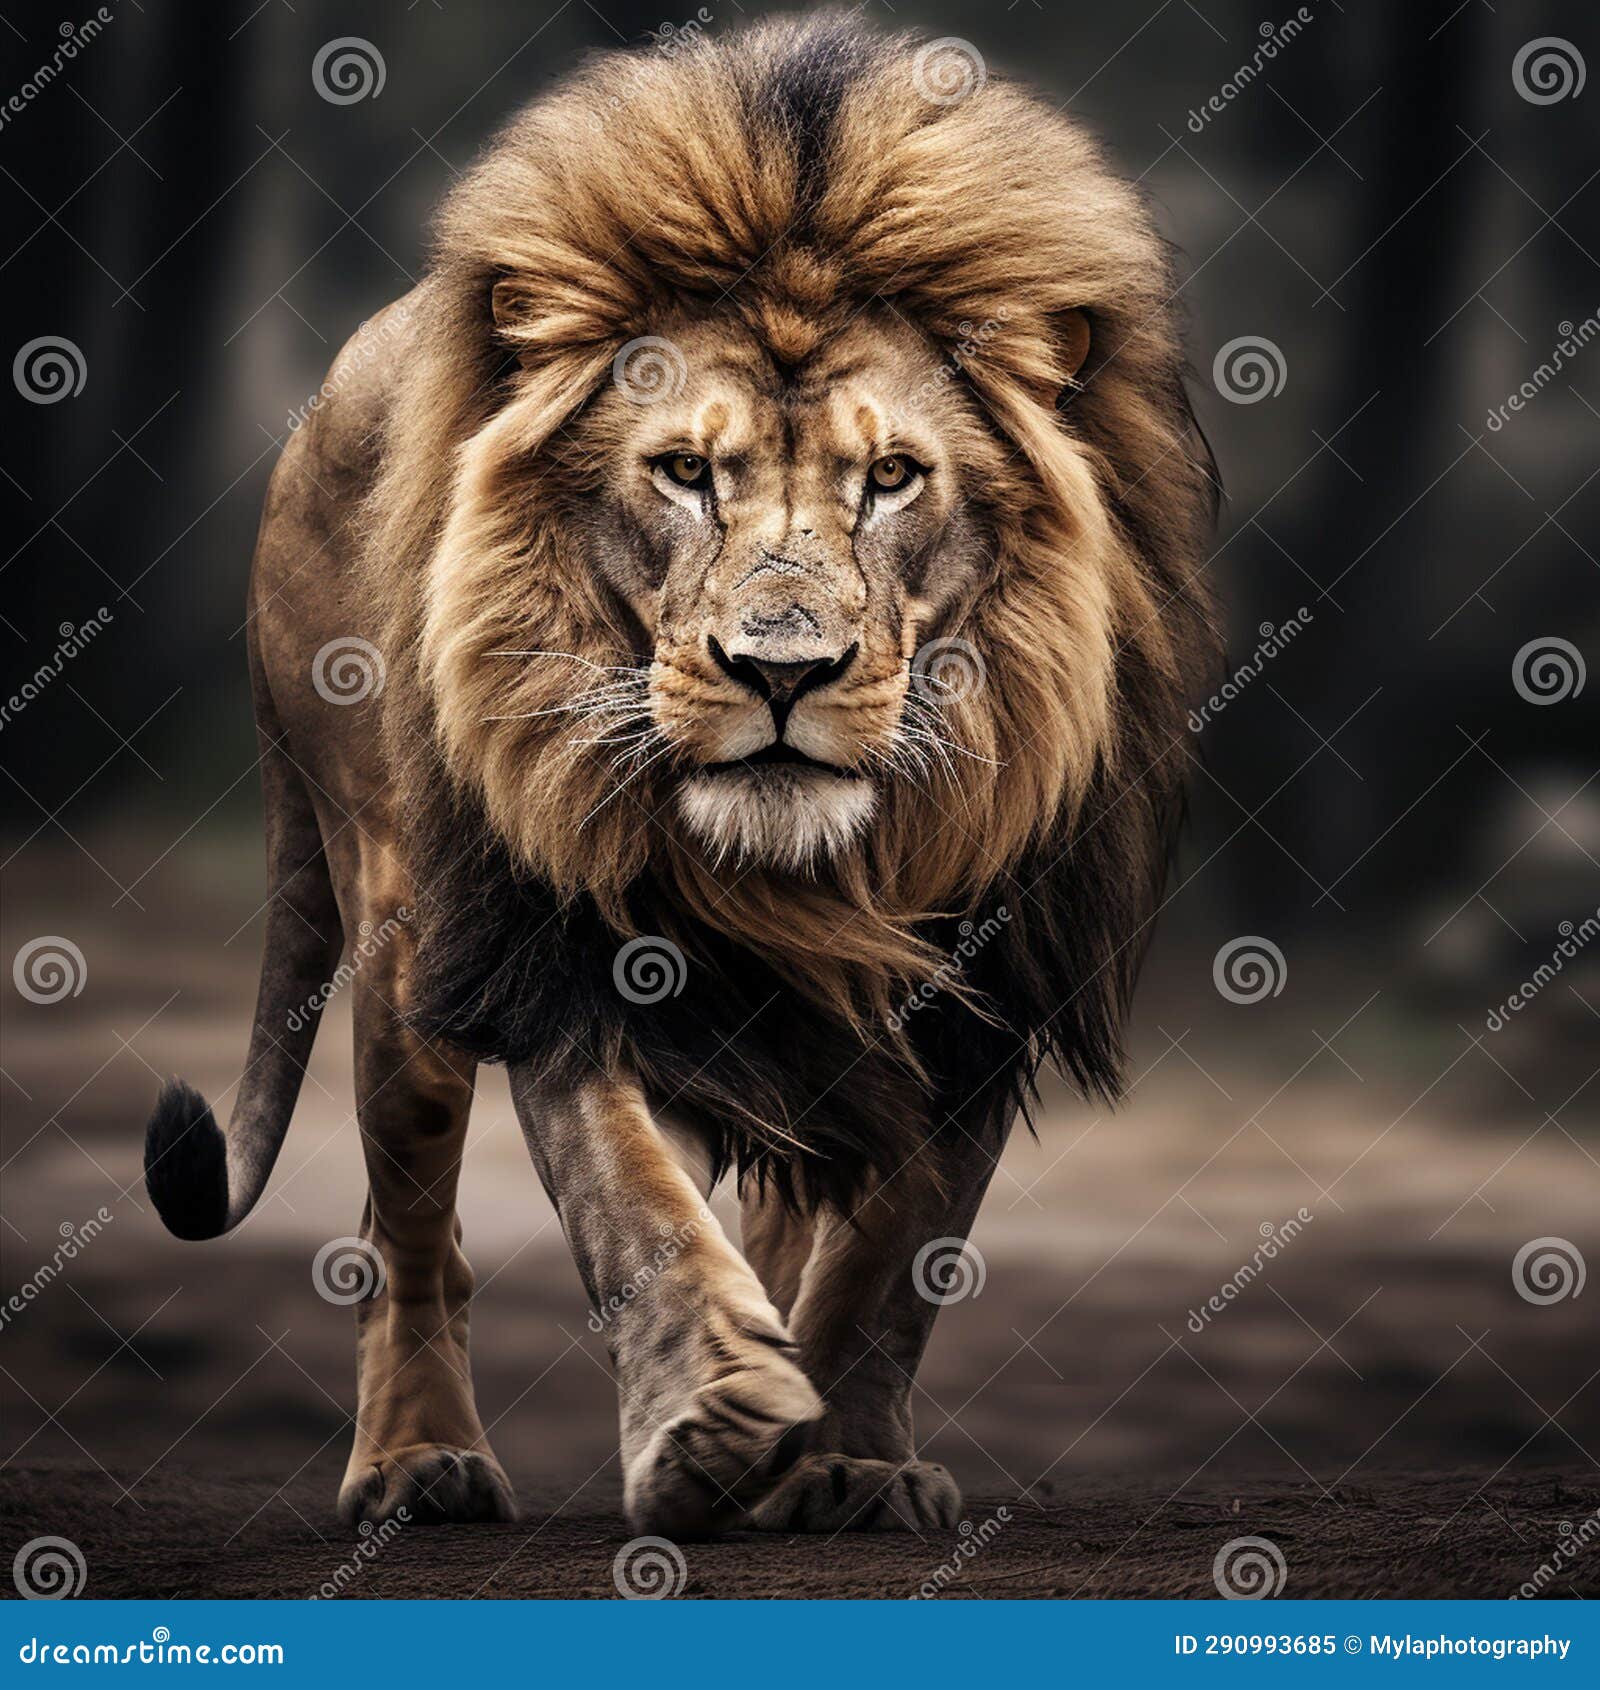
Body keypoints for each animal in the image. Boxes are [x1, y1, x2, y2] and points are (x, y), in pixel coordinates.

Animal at [143, 14, 1219, 1537]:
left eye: (894, 476)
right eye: (684, 473)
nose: (782, 671)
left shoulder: (984, 978)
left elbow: (899, 1241)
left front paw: (844, 1458)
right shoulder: (559, 933)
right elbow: (631, 1194)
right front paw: (715, 1419)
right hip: (397, 909)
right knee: (404, 1224)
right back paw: (416, 1460)